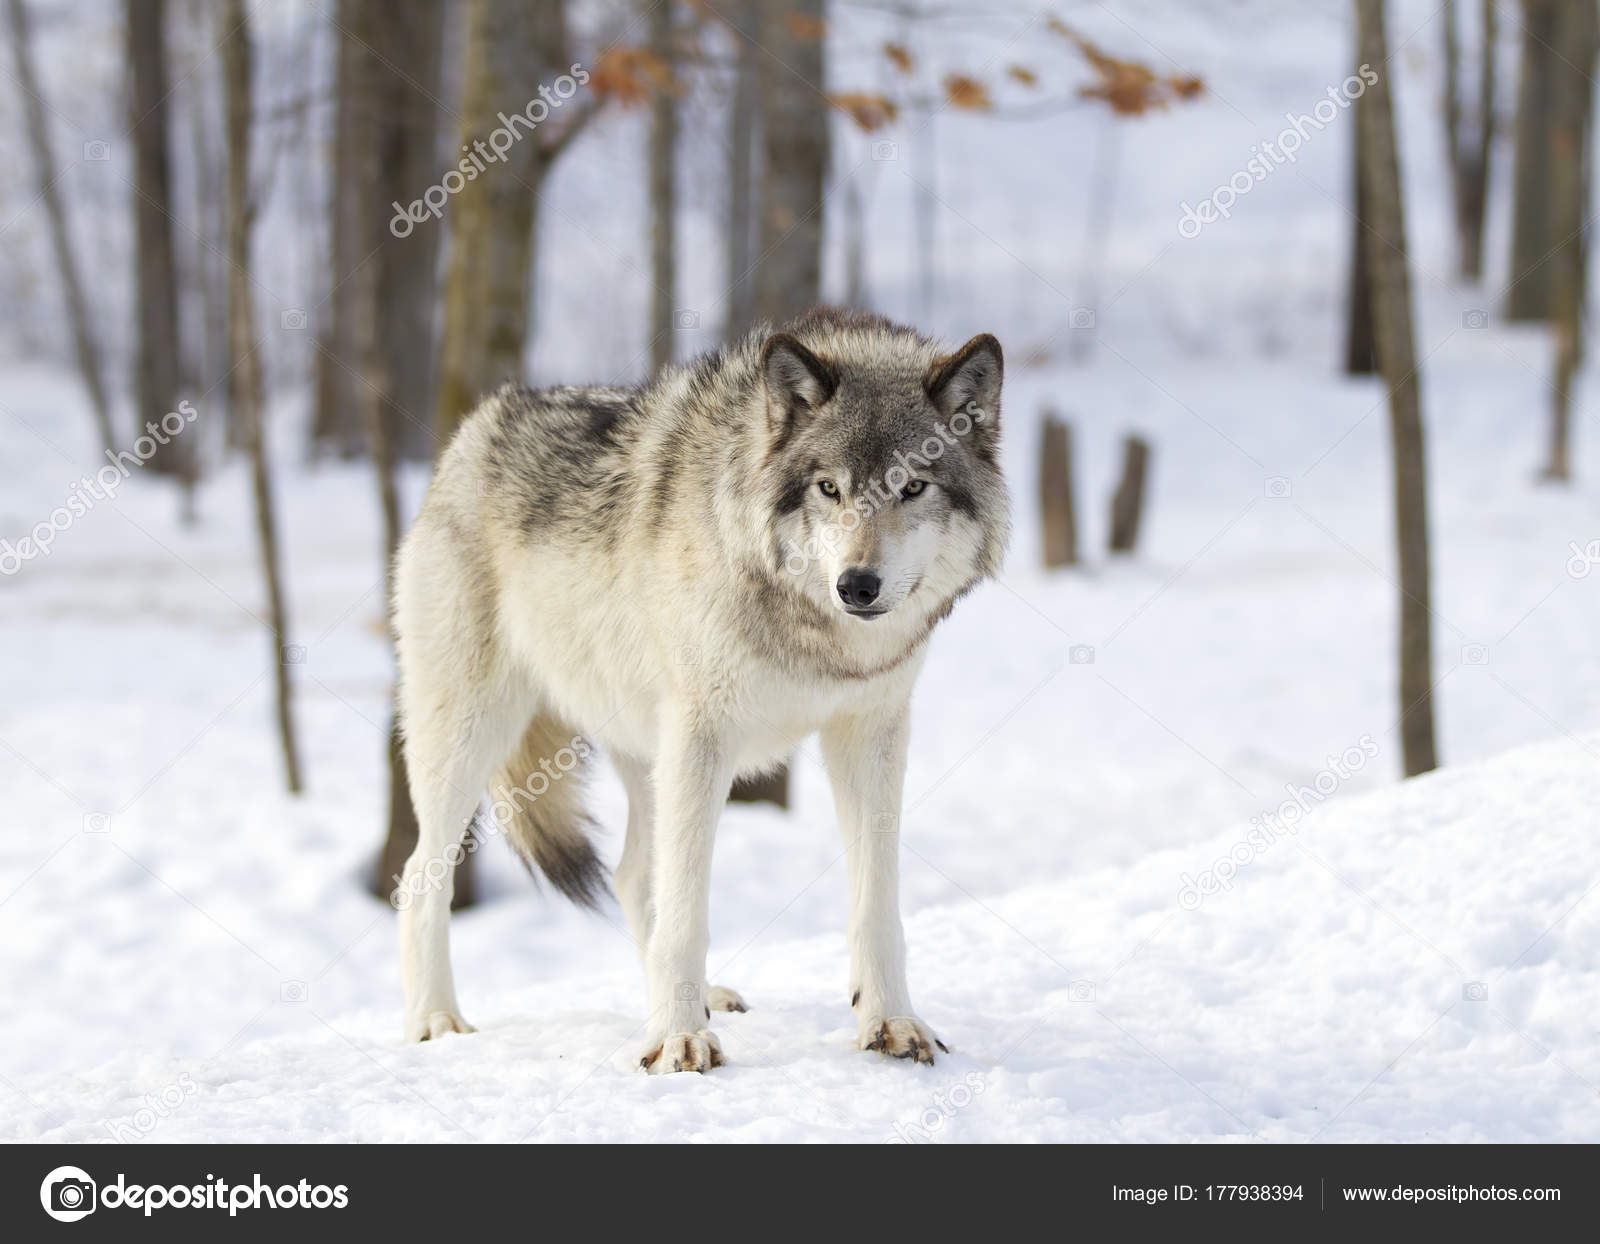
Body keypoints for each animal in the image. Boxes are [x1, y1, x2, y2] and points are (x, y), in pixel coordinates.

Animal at [393, 307, 1009, 1073]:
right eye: (829, 489)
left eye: (913, 487)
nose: (857, 585)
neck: (812, 631)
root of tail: (476, 426)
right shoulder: (703, 737)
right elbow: (688, 911)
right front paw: (677, 1039)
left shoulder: (870, 733)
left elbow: (876, 905)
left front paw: (891, 1022)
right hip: (472, 740)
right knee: (421, 874)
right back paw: (436, 1021)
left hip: (643, 755)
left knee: (631, 876)